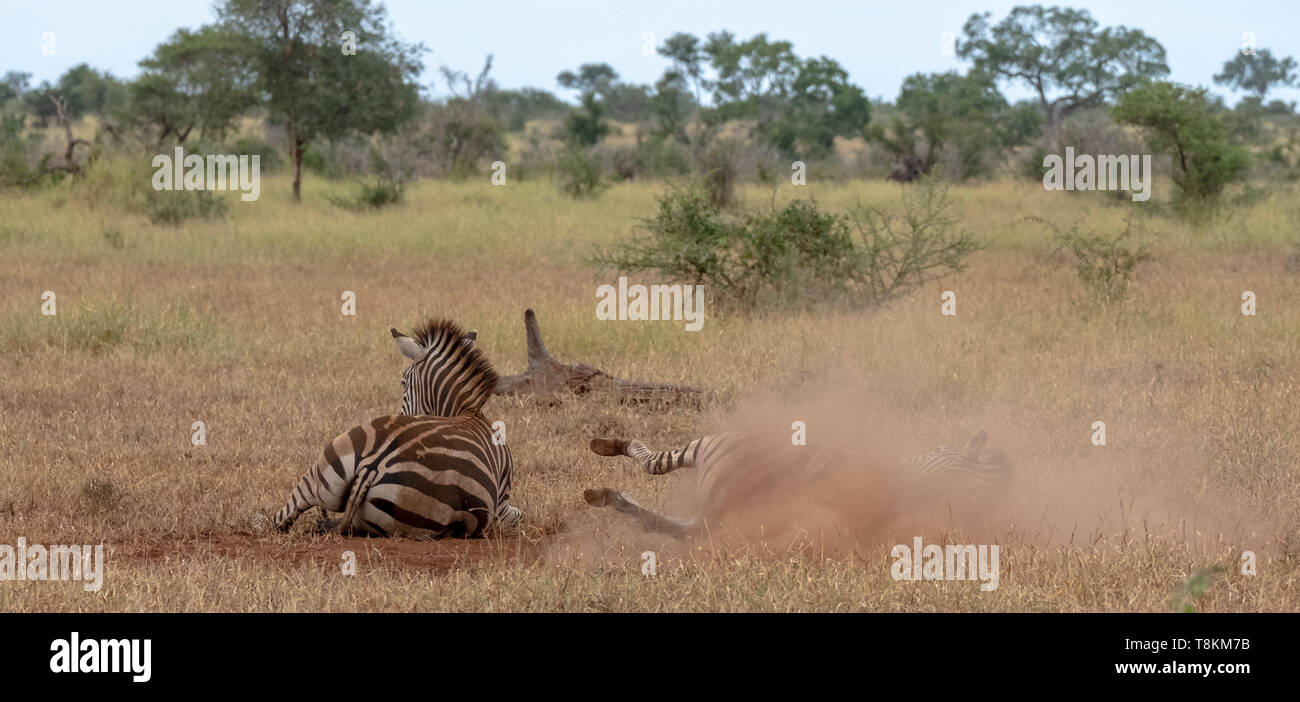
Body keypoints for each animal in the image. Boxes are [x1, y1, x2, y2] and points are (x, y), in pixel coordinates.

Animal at [254, 319, 521, 538]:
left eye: (403, 382)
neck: (468, 412)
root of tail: (373, 465)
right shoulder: (501, 506)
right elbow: (519, 515)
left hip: (321, 467)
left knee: (273, 522)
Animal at [583, 429, 1011, 537]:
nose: (1004, 456)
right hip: (705, 509)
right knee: (666, 522)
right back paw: (607, 494)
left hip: (704, 451)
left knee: (650, 465)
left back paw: (601, 464)